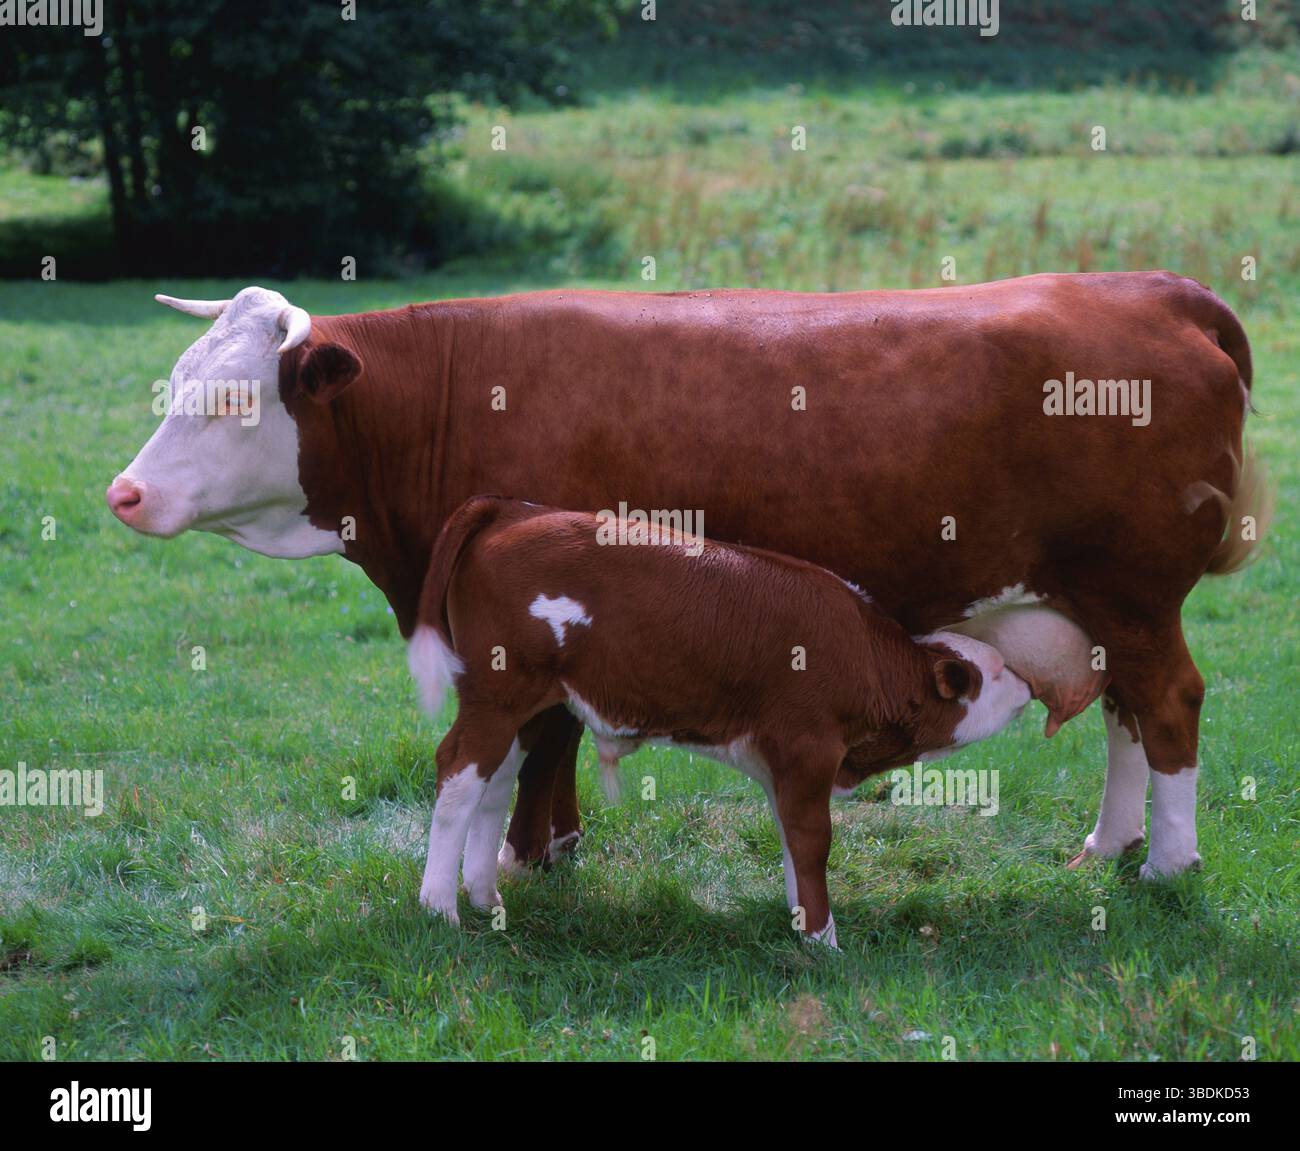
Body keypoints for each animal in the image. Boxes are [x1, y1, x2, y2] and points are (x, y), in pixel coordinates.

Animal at [107, 273, 1266, 892]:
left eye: (230, 400)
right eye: (173, 382)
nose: (123, 494)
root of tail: (1151, 289)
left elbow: (543, 739)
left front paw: (529, 856)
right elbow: (543, 743)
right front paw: (551, 849)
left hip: (1132, 595)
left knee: (1169, 704)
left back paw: (1166, 866)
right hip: (1100, 606)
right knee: (1125, 709)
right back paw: (1110, 841)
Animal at [407, 496, 1033, 946]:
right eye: (994, 671)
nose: (1029, 684)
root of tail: (514, 509)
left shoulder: (782, 764)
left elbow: (789, 837)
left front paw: (801, 924)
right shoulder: (809, 748)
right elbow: (812, 841)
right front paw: (825, 941)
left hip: (528, 707)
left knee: (493, 782)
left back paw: (483, 897)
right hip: (497, 694)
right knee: (457, 771)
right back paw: (439, 908)